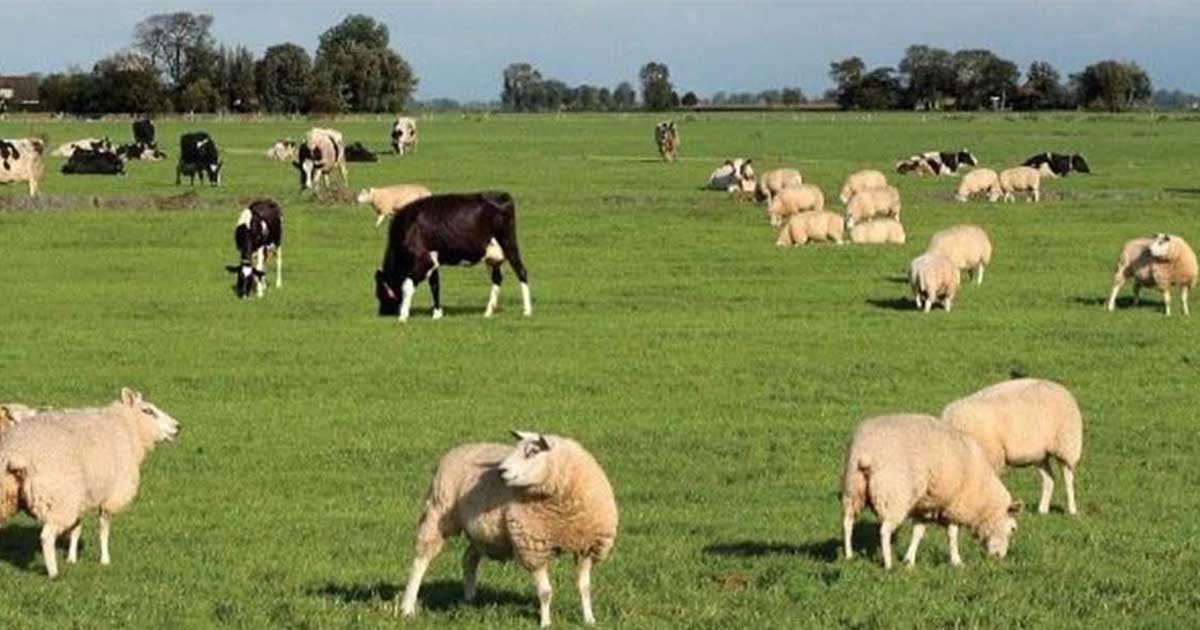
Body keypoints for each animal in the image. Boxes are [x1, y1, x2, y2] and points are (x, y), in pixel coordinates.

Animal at [0, 388, 179, 578]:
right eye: (148, 411)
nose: (178, 427)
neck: (124, 427)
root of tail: (16, 452)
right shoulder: (109, 496)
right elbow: (103, 529)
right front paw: (105, 560)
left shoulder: (81, 496)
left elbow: (76, 529)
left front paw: (72, 558)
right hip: (60, 498)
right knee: (46, 537)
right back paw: (54, 573)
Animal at [374, 192, 531, 322]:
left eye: (379, 293)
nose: (382, 313)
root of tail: (501, 195)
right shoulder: (433, 260)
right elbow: (435, 285)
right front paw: (437, 314)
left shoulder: (424, 259)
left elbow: (407, 285)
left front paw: (403, 316)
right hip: (493, 255)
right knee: (497, 278)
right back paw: (488, 312)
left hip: (508, 244)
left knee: (521, 271)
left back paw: (527, 311)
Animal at [400, 431, 618, 627]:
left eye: (532, 452)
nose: (501, 470)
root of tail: (461, 448)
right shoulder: (533, 546)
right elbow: (545, 592)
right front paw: (545, 622)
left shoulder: (587, 547)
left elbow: (585, 587)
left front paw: (589, 619)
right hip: (438, 511)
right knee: (421, 560)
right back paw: (407, 607)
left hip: (483, 532)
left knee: (469, 559)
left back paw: (469, 598)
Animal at [841, 414, 1021, 569]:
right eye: (1013, 529)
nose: (999, 557)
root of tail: (867, 453)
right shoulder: (953, 505)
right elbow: (952, 535)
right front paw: (957, 561)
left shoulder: (925, 507)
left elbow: (918, 533)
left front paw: (909, 561)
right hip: (894, 495)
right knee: (884, 531)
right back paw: (888, 564)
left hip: (853, 488)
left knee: (848, 522)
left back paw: (849, 555)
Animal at [942, 378, 1083, 516]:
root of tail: (1060, 388)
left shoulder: (993, 456)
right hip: (1040, 455)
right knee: (1049, 479)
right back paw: (1042, 510)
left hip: (1066, 445)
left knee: (1068, 478)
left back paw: (1072, 510)